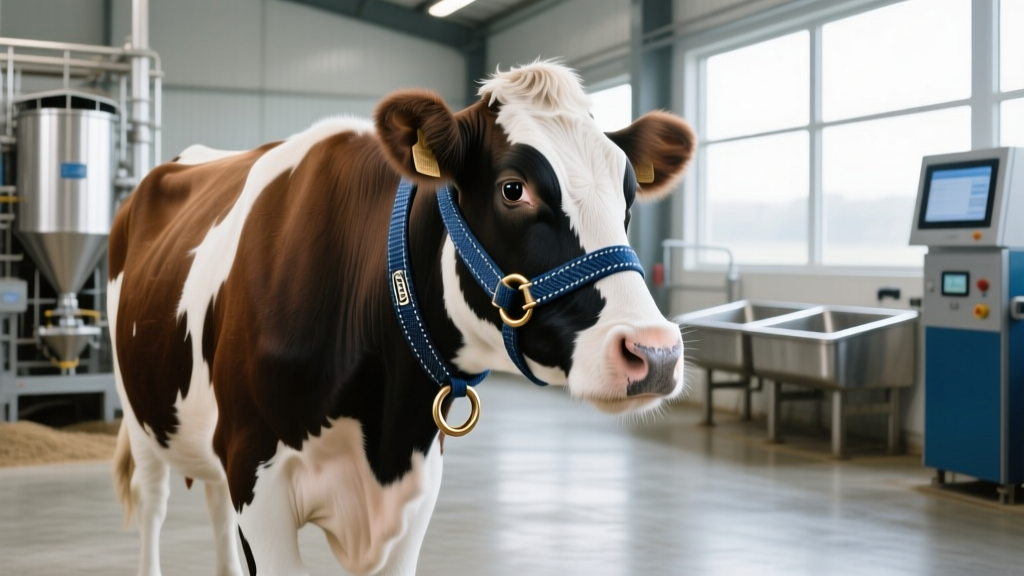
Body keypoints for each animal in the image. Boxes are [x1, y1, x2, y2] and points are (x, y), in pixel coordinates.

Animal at [109, 61, 695, 576]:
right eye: (513, 188)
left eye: (628, 195)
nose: (655, 352)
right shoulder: (258, 482)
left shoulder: (414, 492)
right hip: (141, 410)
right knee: (153, 501)